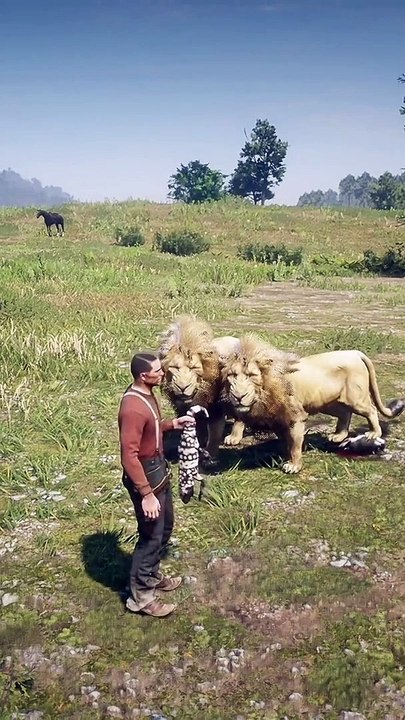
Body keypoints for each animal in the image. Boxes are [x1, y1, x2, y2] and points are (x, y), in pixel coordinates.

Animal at [158, 315, 241, 460]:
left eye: (193, 368)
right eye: (174, 367)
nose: (183, 387)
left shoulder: (215, 409)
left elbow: (214, 433)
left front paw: (209, 456)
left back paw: (233, 437)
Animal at [221, 334, 405, 473]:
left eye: (252, 375)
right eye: (232, 375)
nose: (238, 396)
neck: (265, 390)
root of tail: (355, 352)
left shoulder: (296, 417)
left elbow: (294, 444)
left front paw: (294, 466)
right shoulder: (278, 419)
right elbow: (287, 442)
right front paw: (286, 455)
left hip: (356, 398)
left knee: (371, 410)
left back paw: (373, 434)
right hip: (329, 402)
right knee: (345, 413)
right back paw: (338, 436)